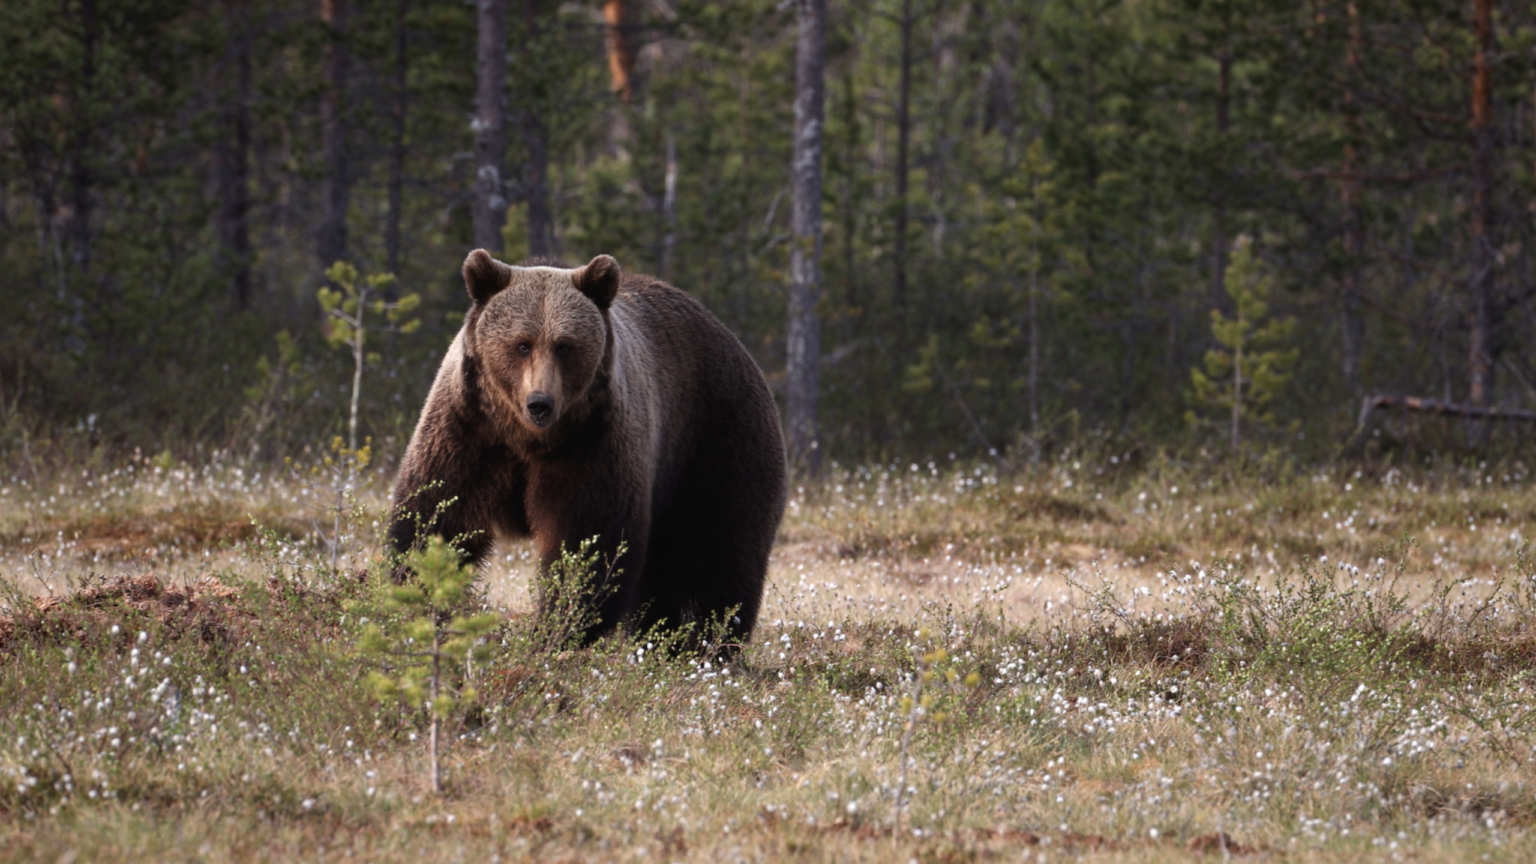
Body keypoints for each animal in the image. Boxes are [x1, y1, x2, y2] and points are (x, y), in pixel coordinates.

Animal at [387, 249, 788, 648]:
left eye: (565, 346)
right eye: (522, 344)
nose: (540, 403)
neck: (526, 438)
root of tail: (735, 343)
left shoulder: (592, 443)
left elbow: (587, 538)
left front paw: (560, 628)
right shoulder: (468, 432)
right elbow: (436, 515)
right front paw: (416, 596)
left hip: (718, 442)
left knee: (723, 552)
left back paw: (712, 642)